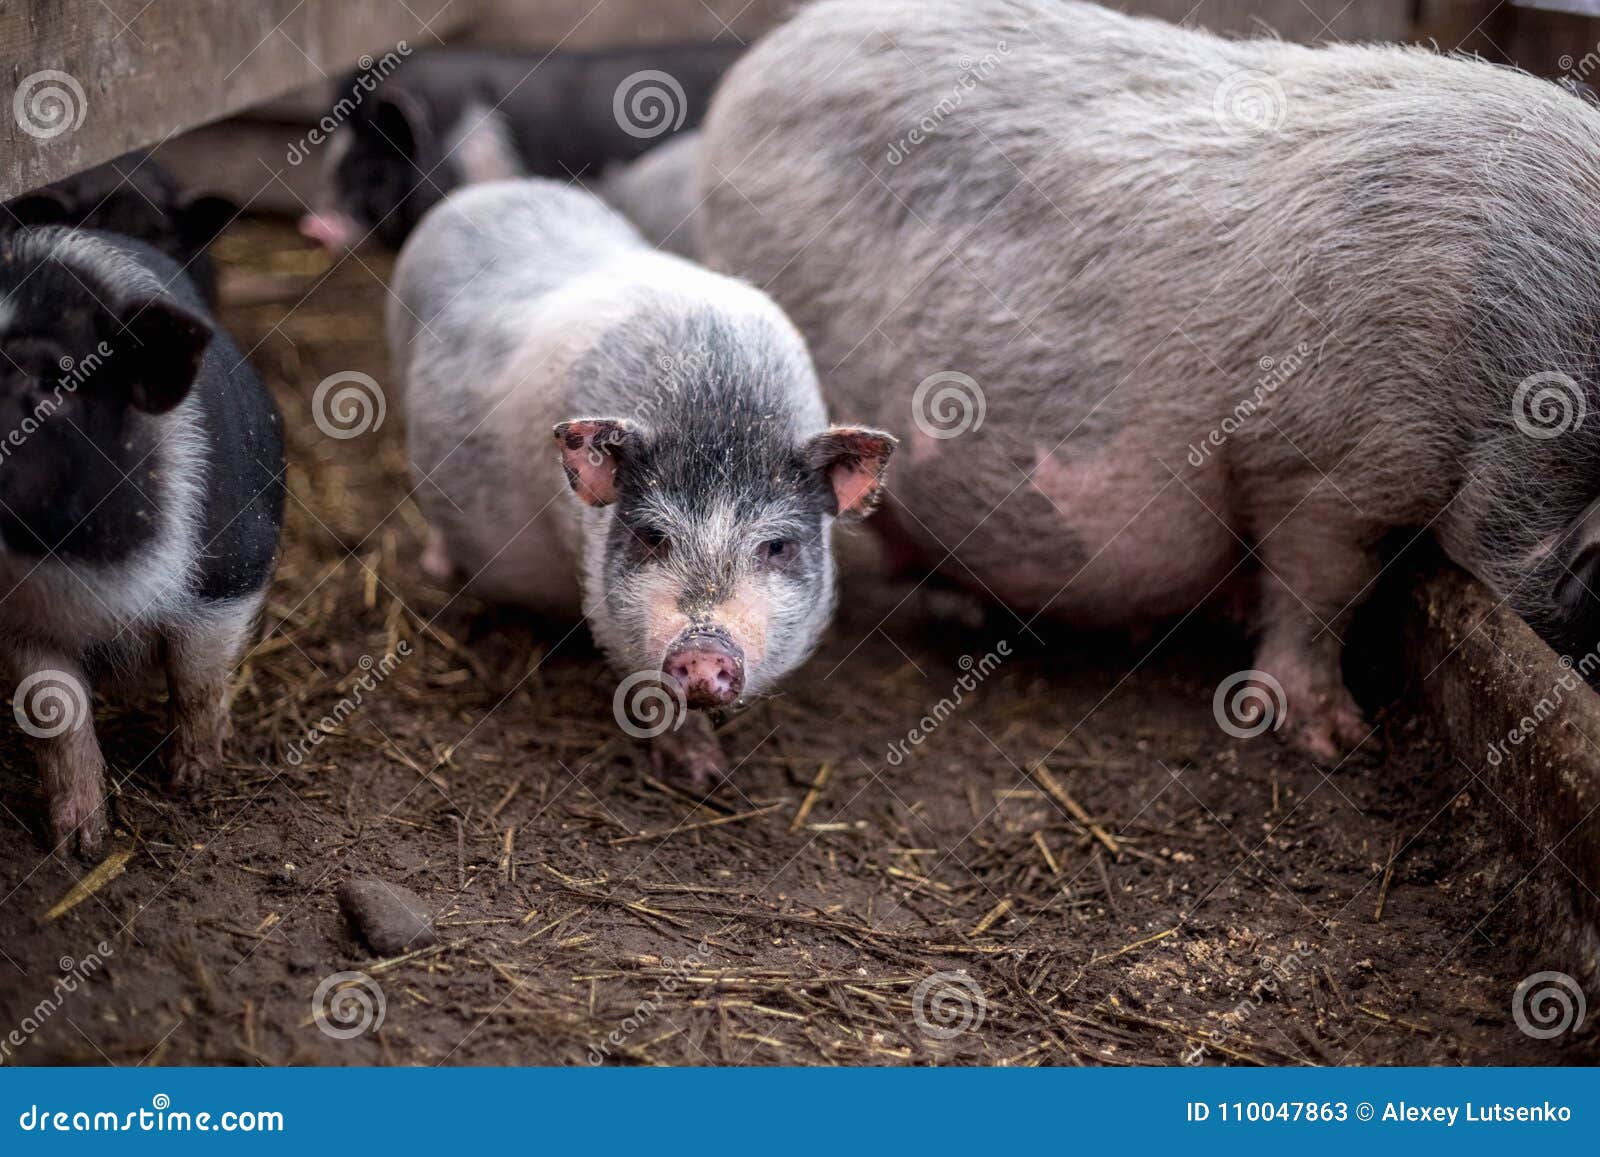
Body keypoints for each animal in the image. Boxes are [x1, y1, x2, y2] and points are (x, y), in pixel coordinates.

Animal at [0, 227, 285, 854]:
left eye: (52, 382)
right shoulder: (22, 626)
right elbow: (55, 713)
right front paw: (79, 845)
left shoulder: (230, 574)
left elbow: (197, 679)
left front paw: (192, 781)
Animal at [388, 179, 892, 777]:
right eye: (652, 537)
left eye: (777, 546)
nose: (704, 650)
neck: (721, 410)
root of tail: (486, 191)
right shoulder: (603, 599)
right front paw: (702, 773)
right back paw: (437, 568)